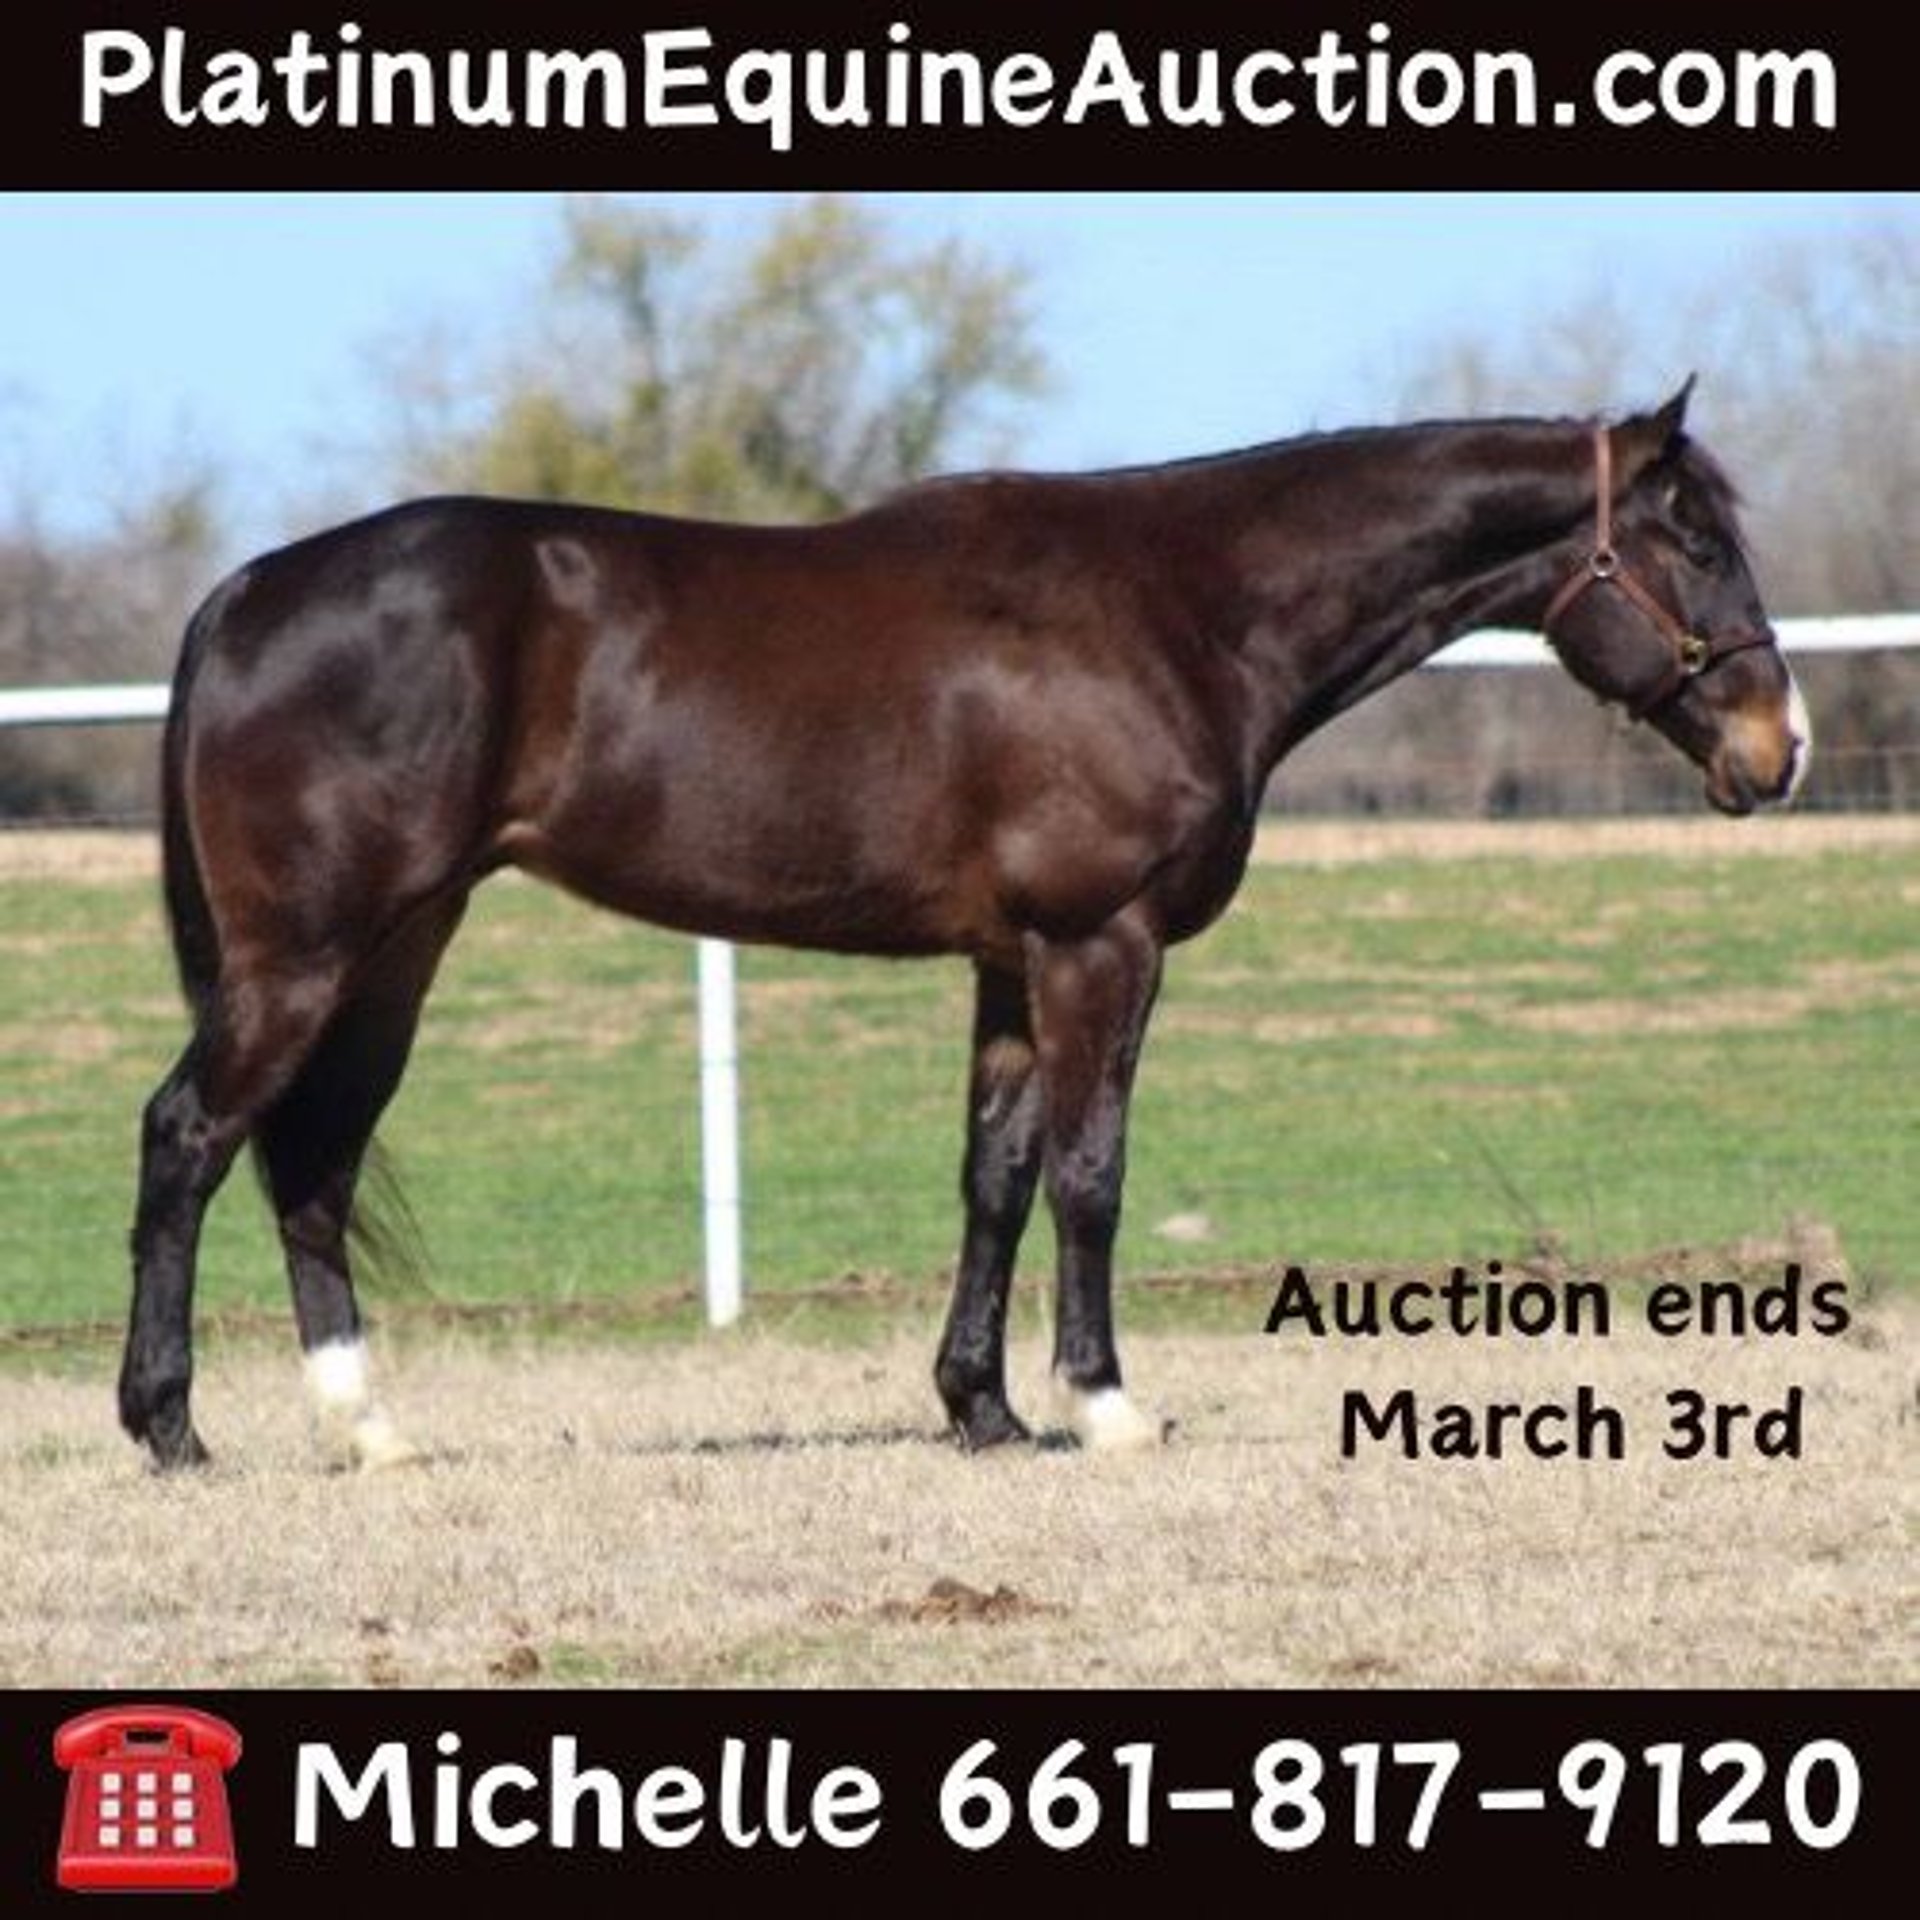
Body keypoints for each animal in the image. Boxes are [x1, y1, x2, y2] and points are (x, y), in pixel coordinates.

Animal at [119, 381, 1809, 1470]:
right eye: (1697, 543)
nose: (1776, 749)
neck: (1178, 606)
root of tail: (247, 592)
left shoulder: (1011, 962)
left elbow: (993, 1180)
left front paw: (984, 1411)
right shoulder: (1099, 944)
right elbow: (1089, 1176)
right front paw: (1108, 1405)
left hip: (397, 950)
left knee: (314, 1160)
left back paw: (369, 1427)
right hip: (310, 955)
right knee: (192, 1136)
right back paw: (173, 1428)